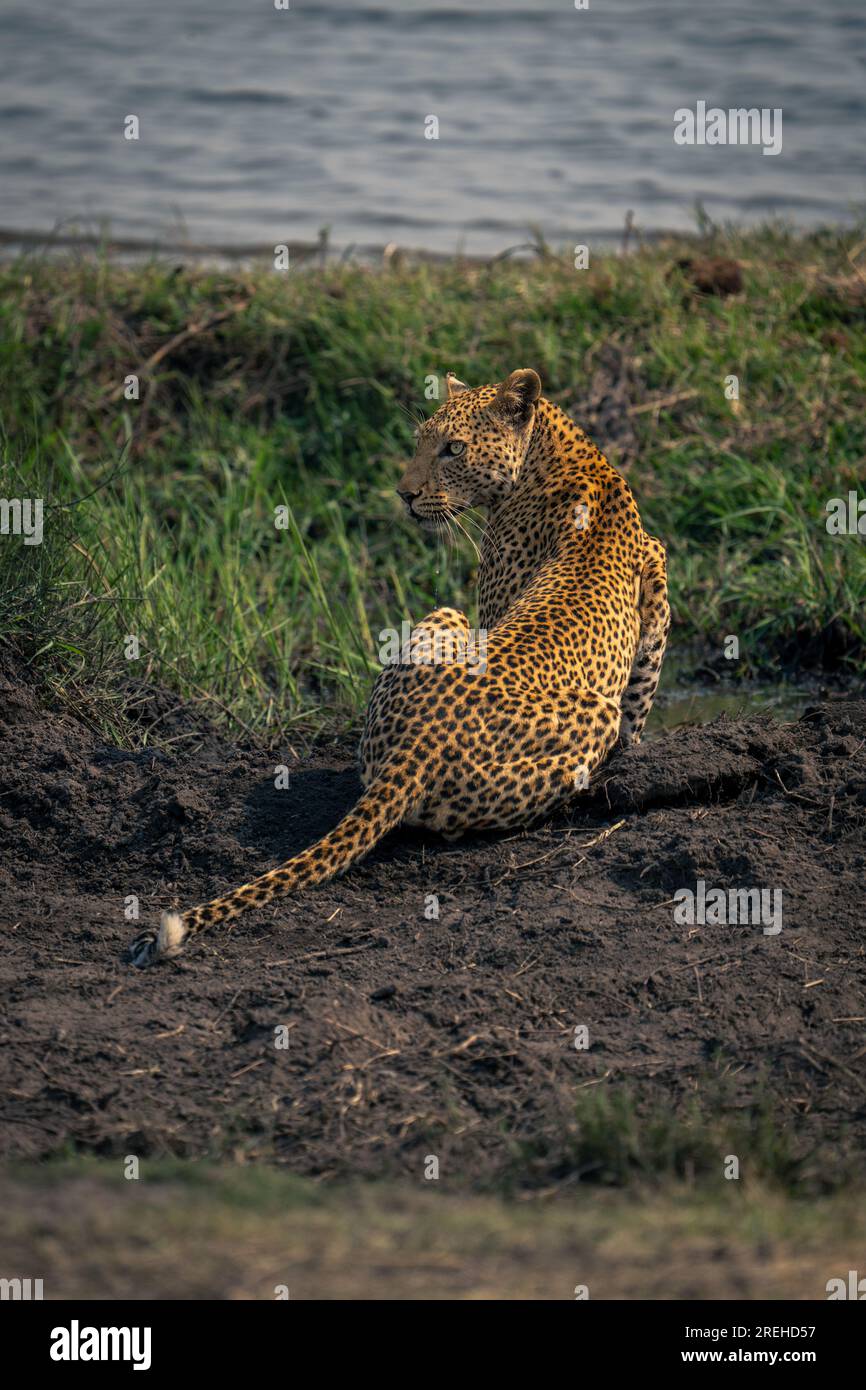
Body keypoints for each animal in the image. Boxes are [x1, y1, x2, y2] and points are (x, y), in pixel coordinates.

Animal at [129, 368, 669, 966]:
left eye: (453, 448)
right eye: (419, 444)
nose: (404, 495)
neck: (561, 451)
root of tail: (422, 739)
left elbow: (642, 691)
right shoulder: (655, 582)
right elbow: (644, 684)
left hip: (471, 634)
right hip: (457, 625)